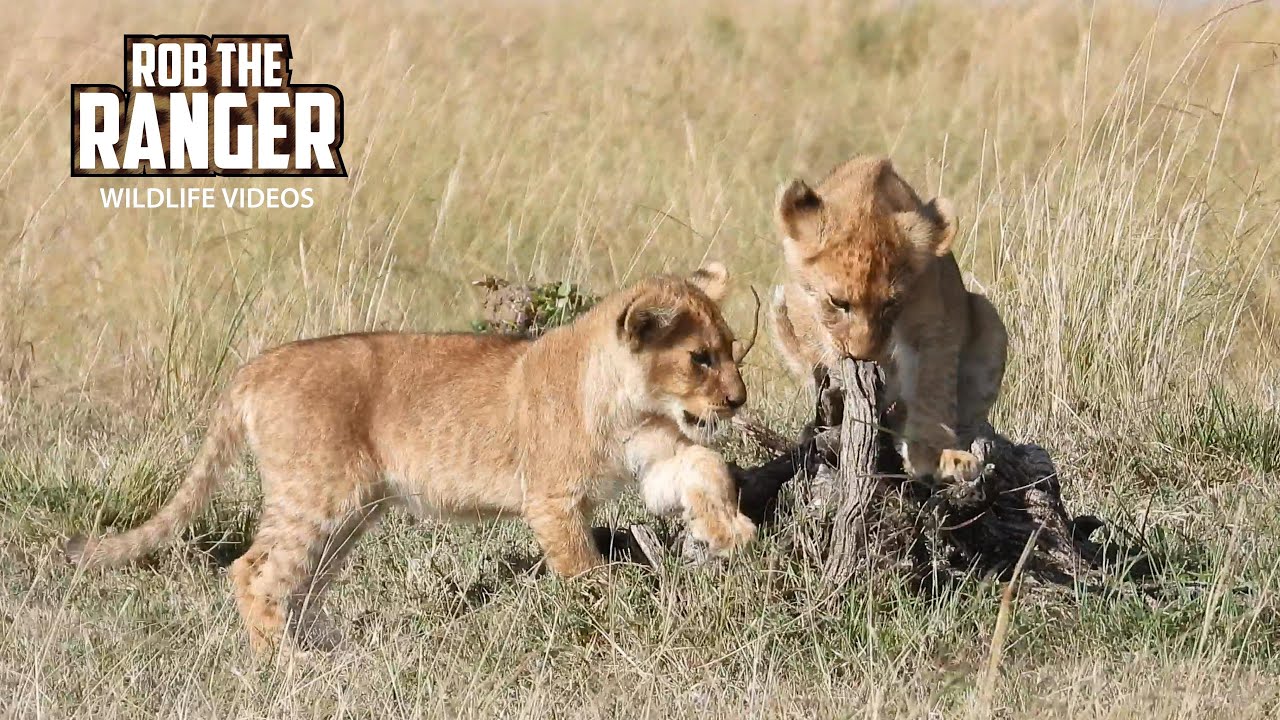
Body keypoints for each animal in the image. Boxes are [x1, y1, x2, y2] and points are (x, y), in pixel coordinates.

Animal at [66, 264, 756, 652]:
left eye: (730, 348)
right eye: (699, 358)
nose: (738, 399)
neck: (629, 402)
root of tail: (257, 366)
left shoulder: (654, 454)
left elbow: (704, 466)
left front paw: (729, 531)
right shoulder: (551, 497)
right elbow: (583, 569)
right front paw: (611, 614)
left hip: (351, 511)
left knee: (300, 578)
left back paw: (323, 650)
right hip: (315, 495)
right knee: (253, 569)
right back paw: (286, 664)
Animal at [769, 155, 1008, 484]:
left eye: (890, 304)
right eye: (838, 302)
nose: (863, 355)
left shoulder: (936, 324)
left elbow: (932, 391)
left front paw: (934, 458)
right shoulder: (798, 302)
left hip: (986, 313)